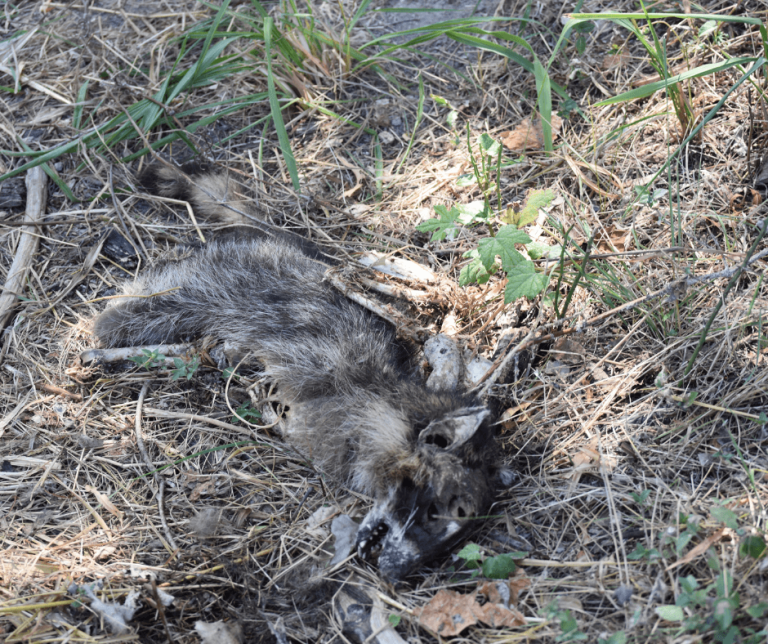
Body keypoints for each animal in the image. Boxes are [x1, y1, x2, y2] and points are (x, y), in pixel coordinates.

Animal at [95, 163, 503, 581]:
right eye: (435, 512)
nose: (396, 573)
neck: (393, 405)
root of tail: (282, 237)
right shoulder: (330, 373)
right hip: (230, 277)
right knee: (155, 302)